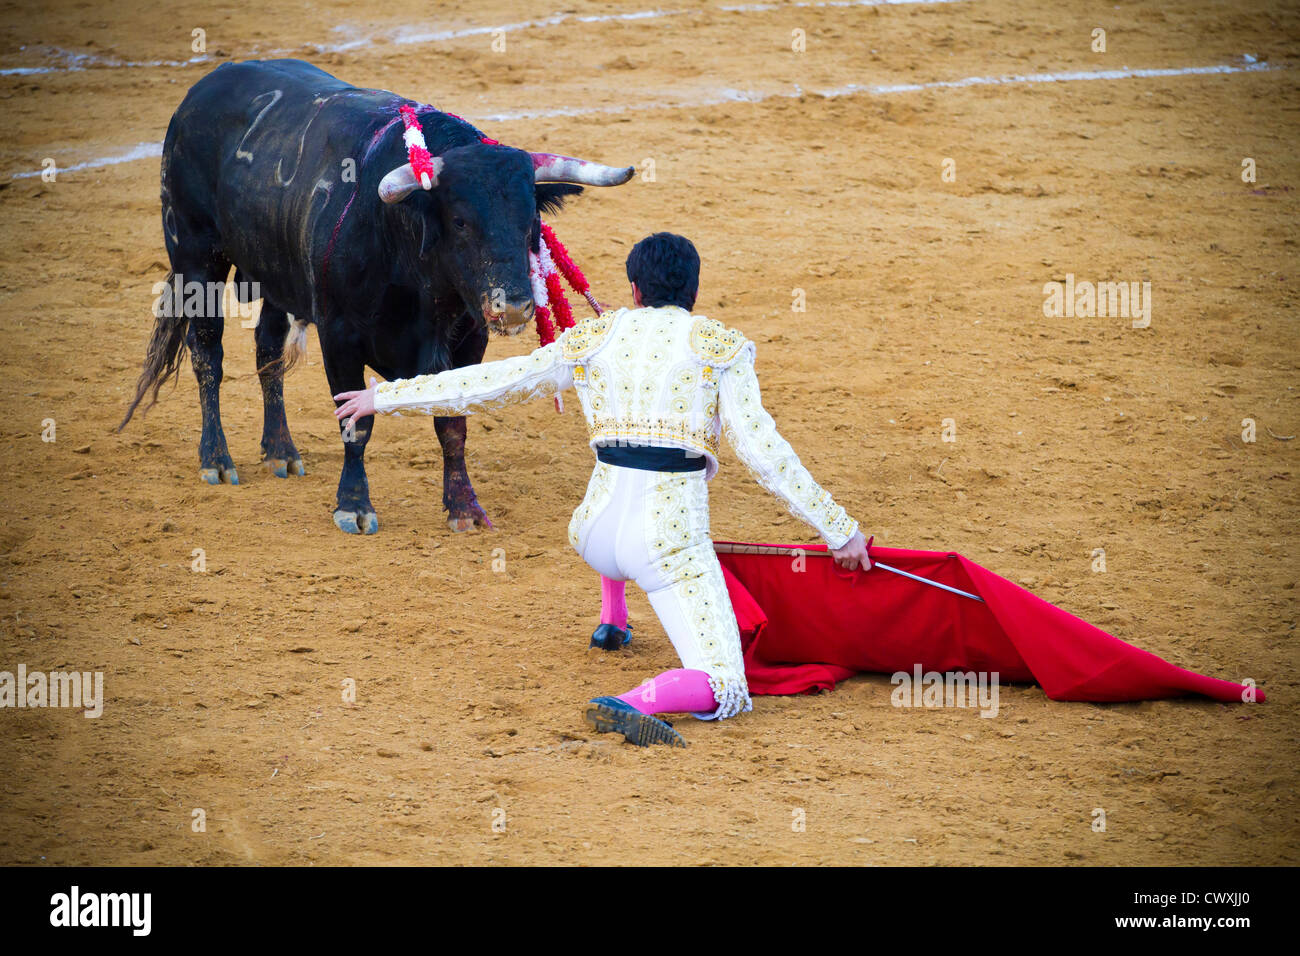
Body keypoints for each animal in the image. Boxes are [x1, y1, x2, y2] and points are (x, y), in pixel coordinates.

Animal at [119, 59, 633, 534]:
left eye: (531, 222)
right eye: (461, 221)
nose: (515, 306)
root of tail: (203, 88)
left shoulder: (469, 342)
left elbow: (453, 423)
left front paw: (464, 508)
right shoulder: (339, 338)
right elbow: (356, 425)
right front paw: (354, 506)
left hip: (275, 276)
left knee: (267, 349)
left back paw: (281, 451)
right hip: (195, 258)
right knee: (208, 352)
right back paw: (217, 459)